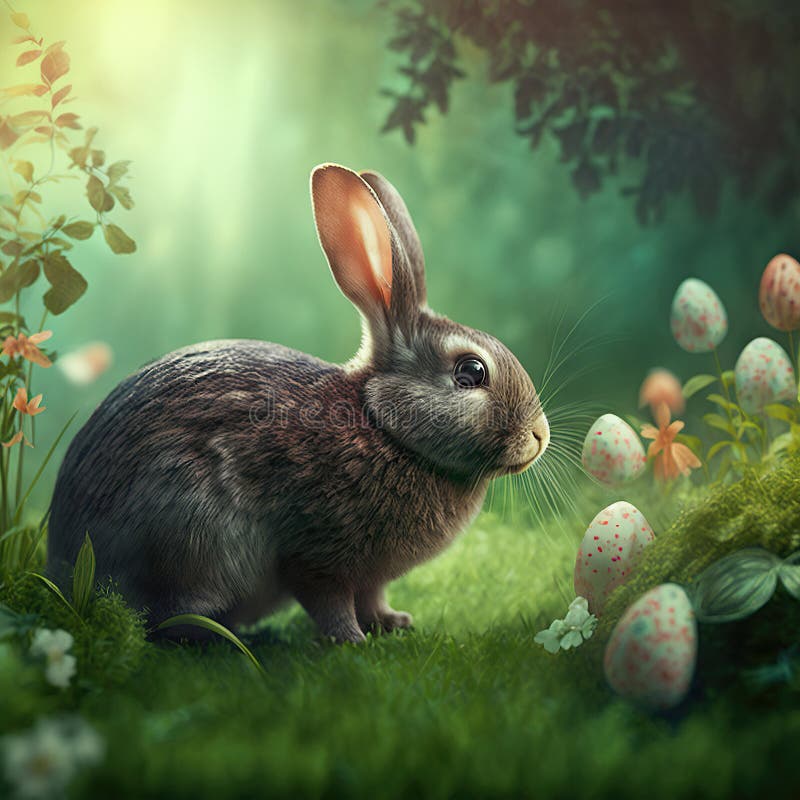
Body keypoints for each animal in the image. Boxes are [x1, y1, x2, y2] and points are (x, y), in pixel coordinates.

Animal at [47, 164, 550, 643]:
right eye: (471, 372)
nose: (539, 436)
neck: (384, 427)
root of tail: (63, 560)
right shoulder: (317, 553)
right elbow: (329, 601)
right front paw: (351, 640)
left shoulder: (370, 576)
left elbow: (373, 596)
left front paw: (393, 623)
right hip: (191, 534)